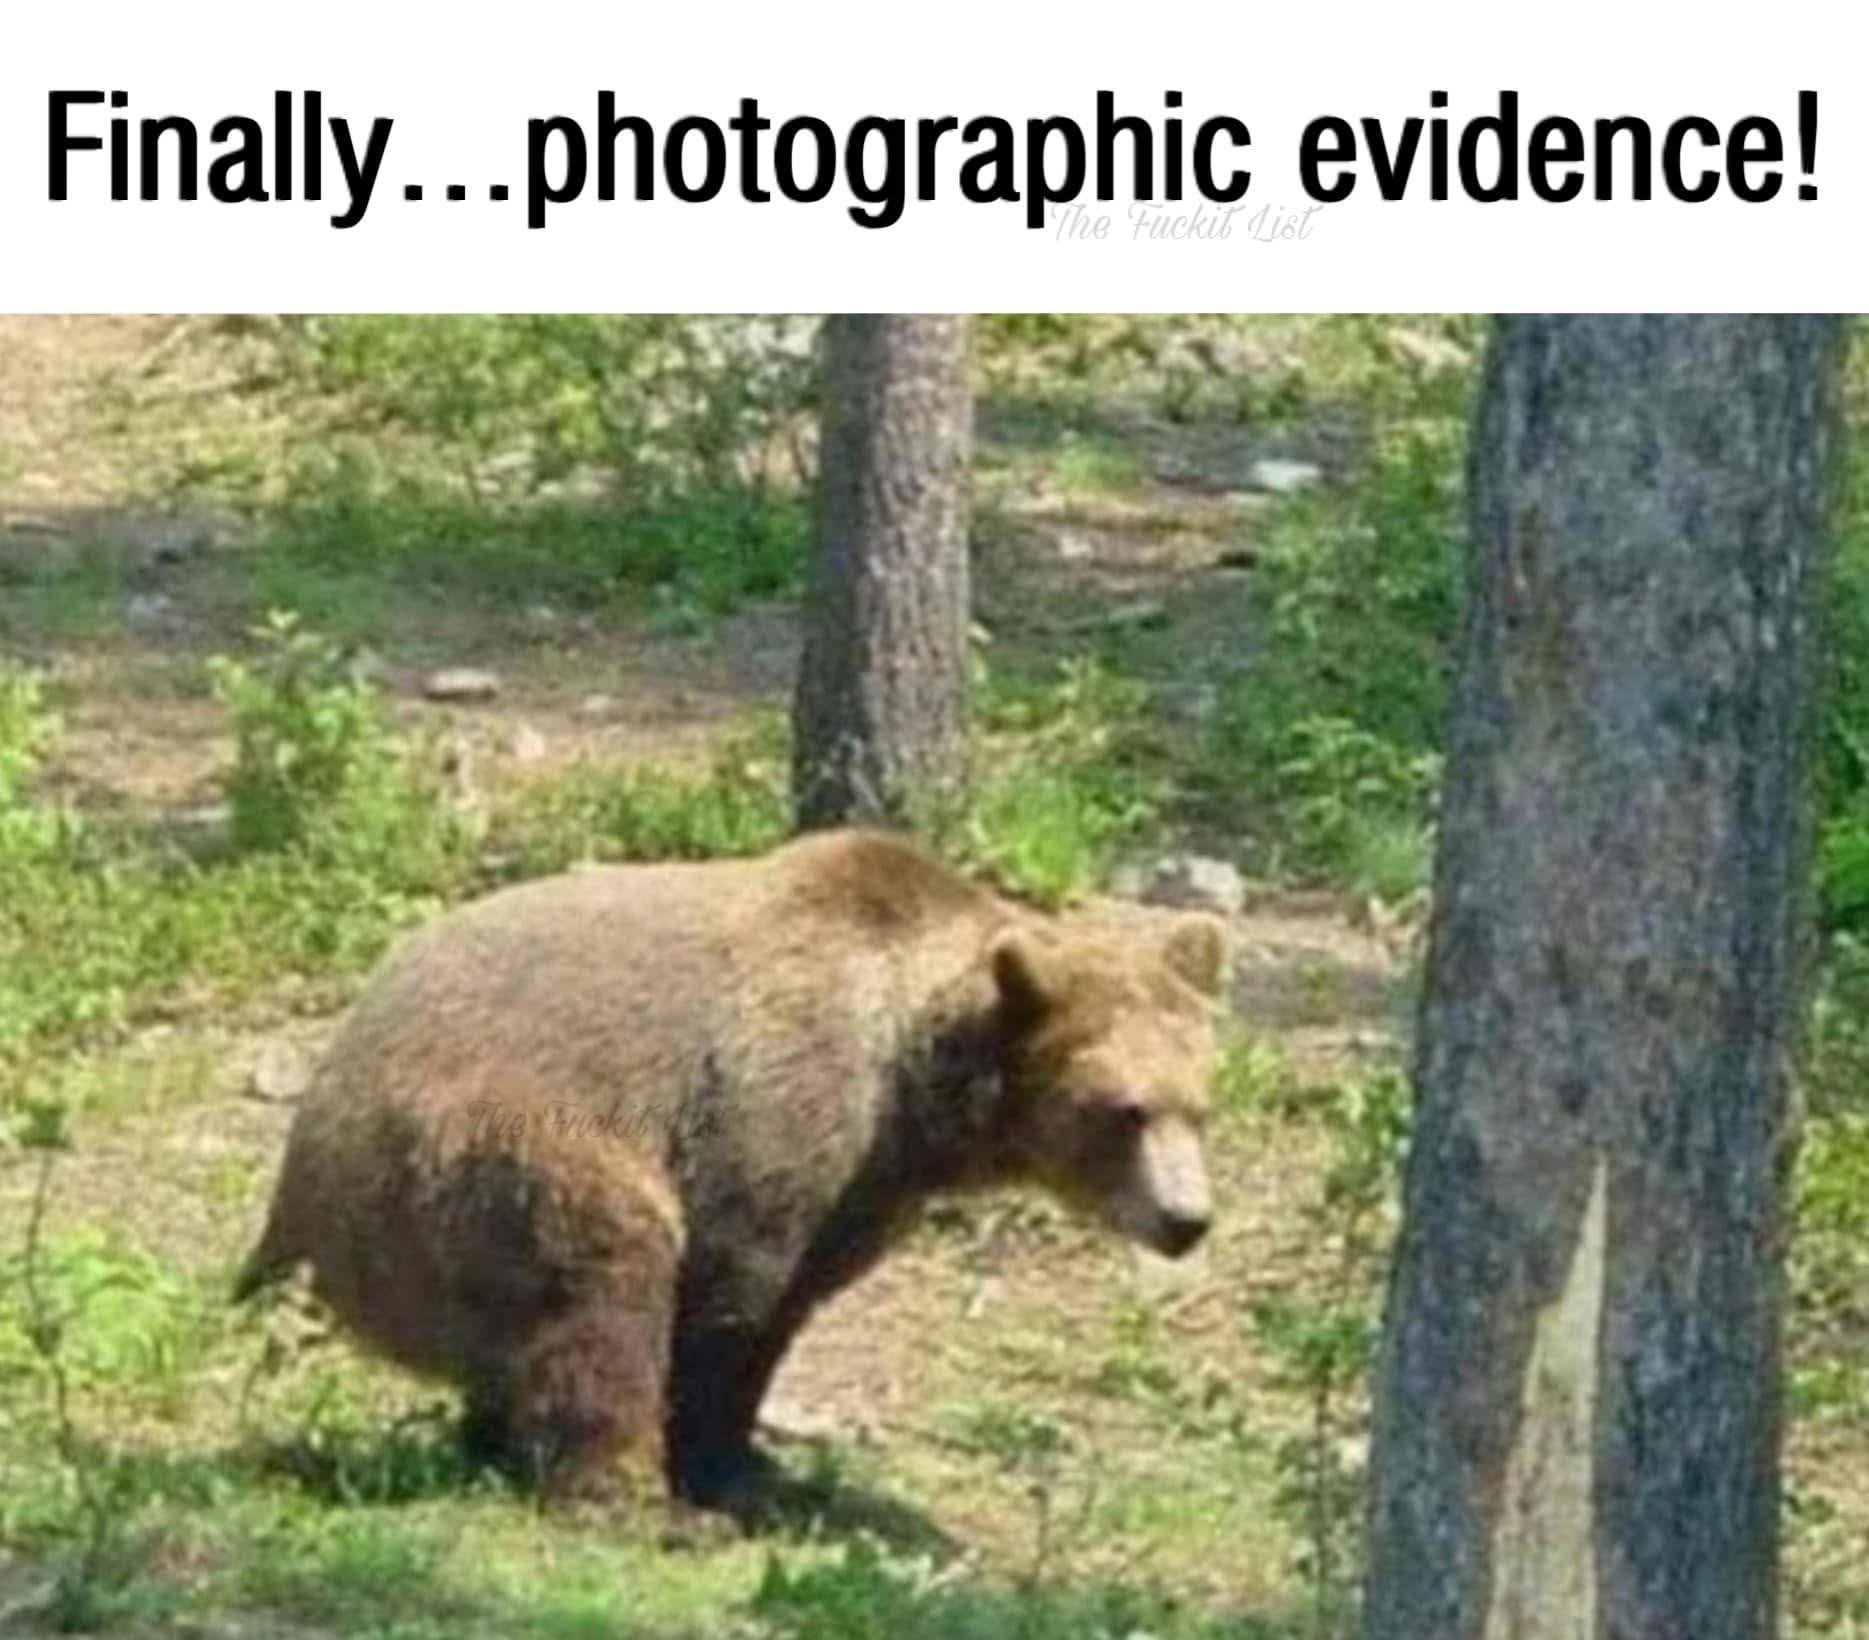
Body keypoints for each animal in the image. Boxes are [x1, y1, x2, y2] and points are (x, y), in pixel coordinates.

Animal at [235, 827, 1226, 1511]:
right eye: (1122, 1111)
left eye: (1198, 1103)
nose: (1187, 1220)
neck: (909, 1076)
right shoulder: (780, 1104)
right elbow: (732, 1297)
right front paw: (719, 1470)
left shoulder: (868, 1183)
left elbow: (795, 1299)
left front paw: (761, 1463)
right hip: (475, 1158)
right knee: (602, 1280)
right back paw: (631, 1499)